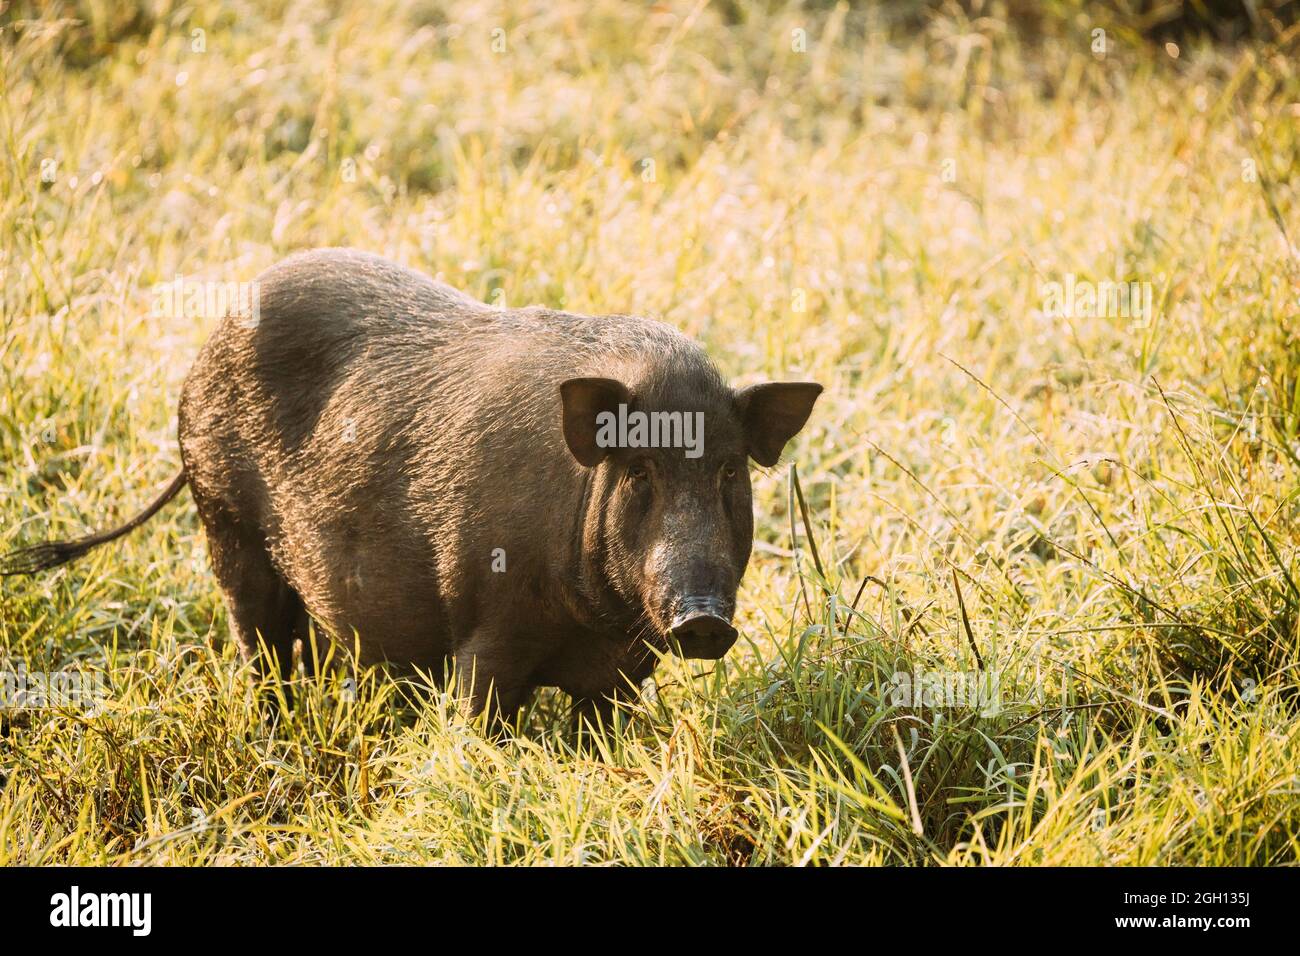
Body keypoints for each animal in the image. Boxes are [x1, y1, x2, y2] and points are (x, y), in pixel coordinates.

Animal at [1, 249, 821, 729]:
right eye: (640, 470)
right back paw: (274, 728)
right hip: (222, 518)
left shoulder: (623, 670)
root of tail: (210, 339)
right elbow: (479, 723)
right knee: (259, 646)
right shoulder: (484, 630)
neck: (591, 623)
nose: (703, 619)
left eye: (727, 470)